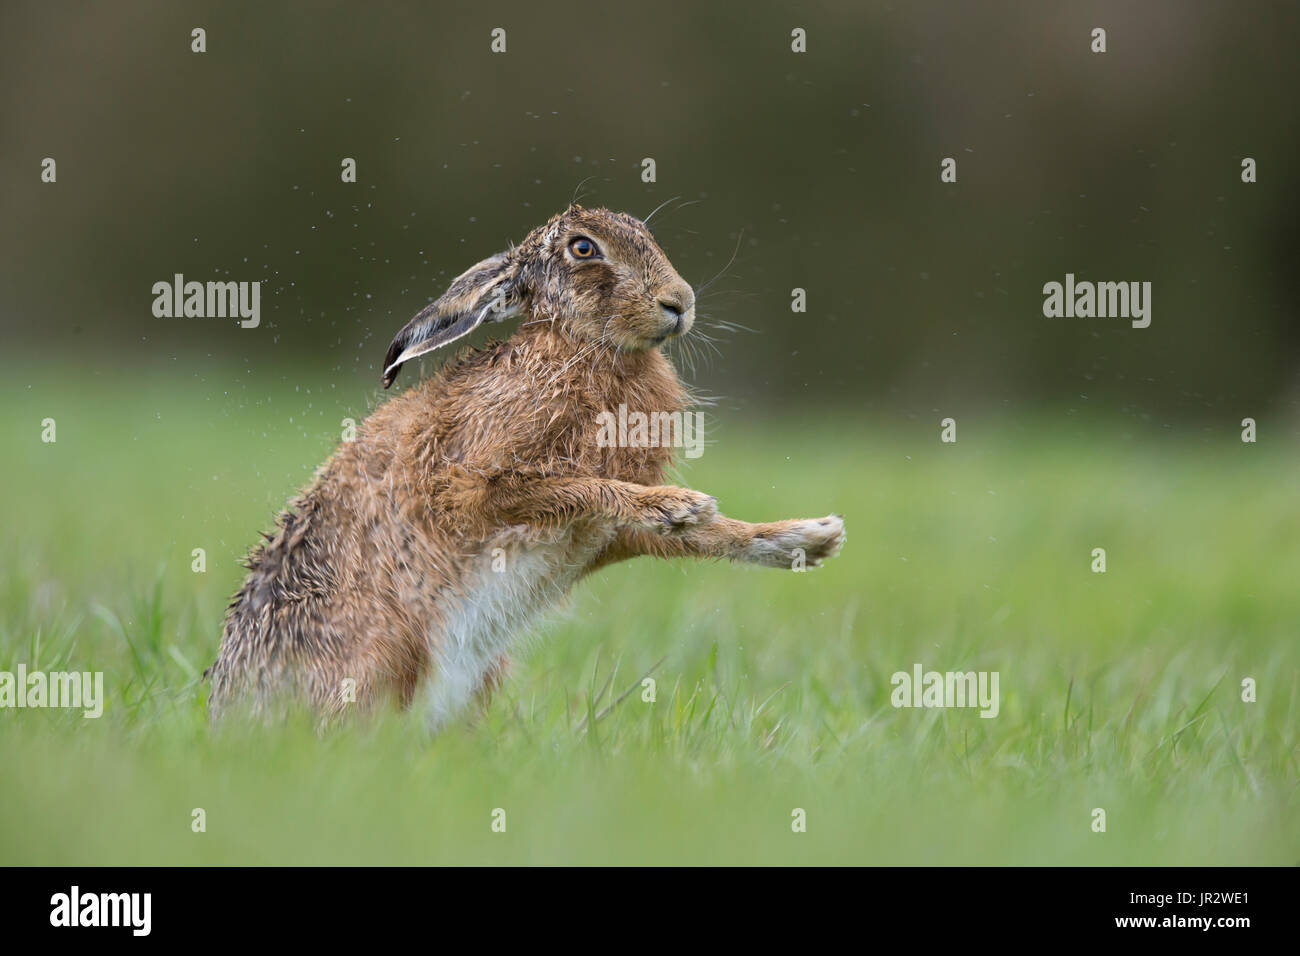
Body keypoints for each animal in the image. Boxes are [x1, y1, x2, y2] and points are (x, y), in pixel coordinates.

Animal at [205, 205, 845, 729]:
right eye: (584, 249)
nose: (680, 303)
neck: (580, 350)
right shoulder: (471, 485)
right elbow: (584, 487)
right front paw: (674, 504)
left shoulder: (603, 537)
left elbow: (704, 536)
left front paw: (811, 540)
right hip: (381, 655)